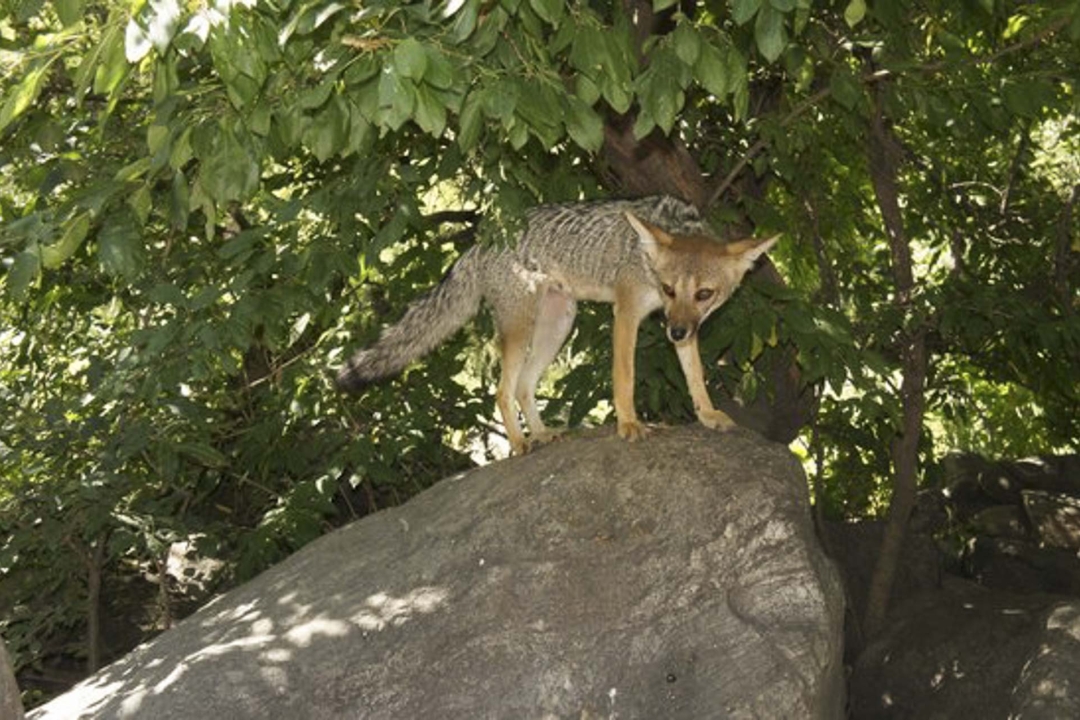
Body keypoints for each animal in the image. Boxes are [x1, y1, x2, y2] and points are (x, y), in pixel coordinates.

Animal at [336, 196, 778, 455]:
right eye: (668, 288)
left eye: (704, 294)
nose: (675, 334)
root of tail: (482, 240)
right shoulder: (628, 312)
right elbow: (625, 376)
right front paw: (629, 424)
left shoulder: (686, 324)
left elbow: (696, 376)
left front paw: (709, 415)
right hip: (521, 329)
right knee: (502, 390)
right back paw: (519, 442)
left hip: (559, 323)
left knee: (523, 386)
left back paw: (542, 434)